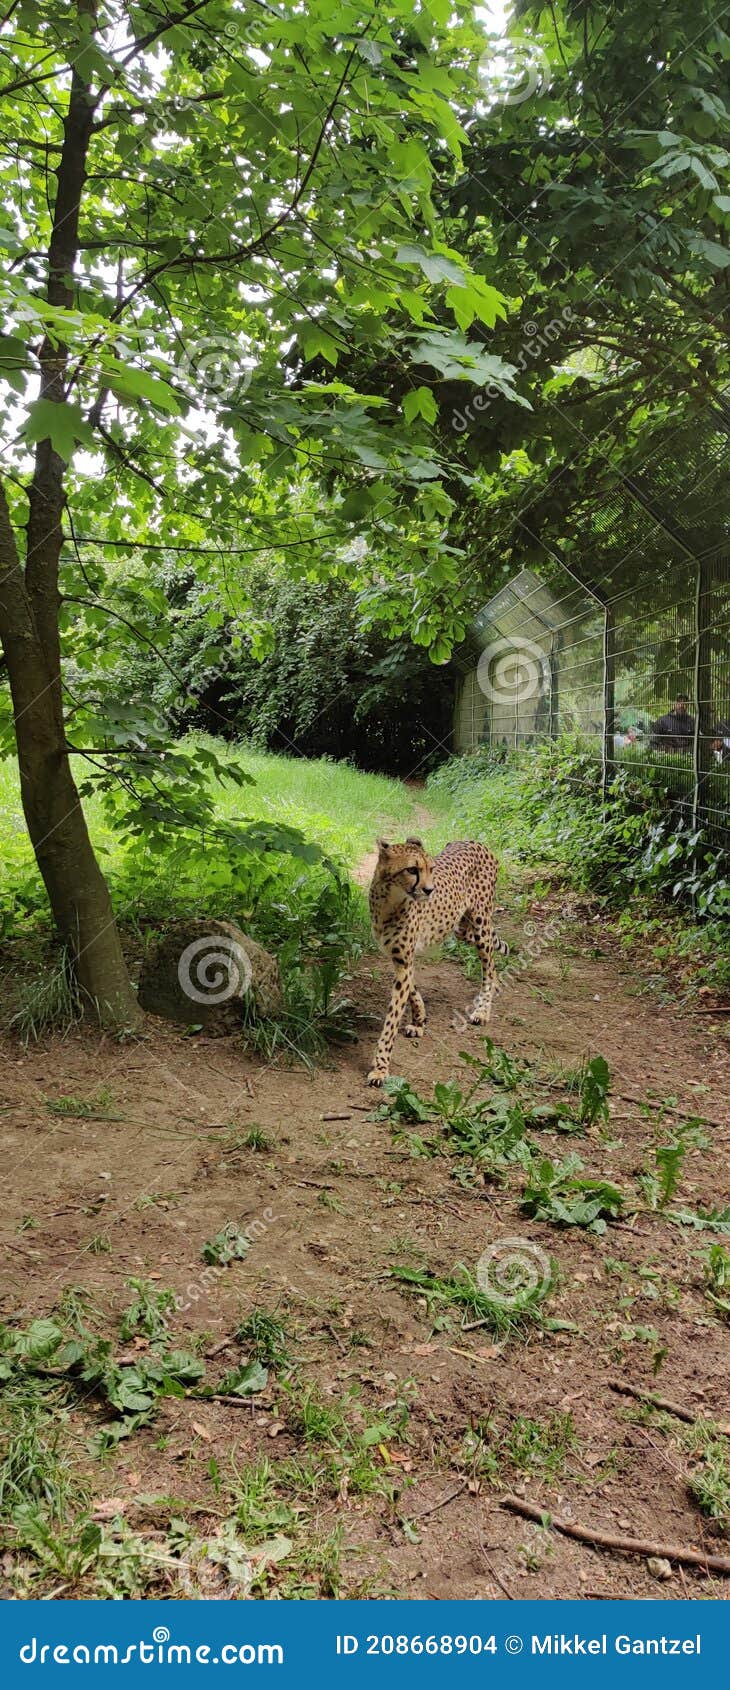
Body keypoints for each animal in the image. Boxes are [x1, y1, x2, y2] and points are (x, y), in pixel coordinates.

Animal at [367, 835, 507, 1086]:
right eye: (412, 869)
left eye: (431, 869)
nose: (430, 890)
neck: (389, 900)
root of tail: (474, 841)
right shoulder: (400, 959)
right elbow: (412, 990)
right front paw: (419, 1021)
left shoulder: (405, 961)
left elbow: (392, 1019)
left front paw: (381, 1068)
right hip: (462, 929)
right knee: (490, 956)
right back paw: (496, 987)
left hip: (480, 923)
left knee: (488, 965)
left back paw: (483, 1010)